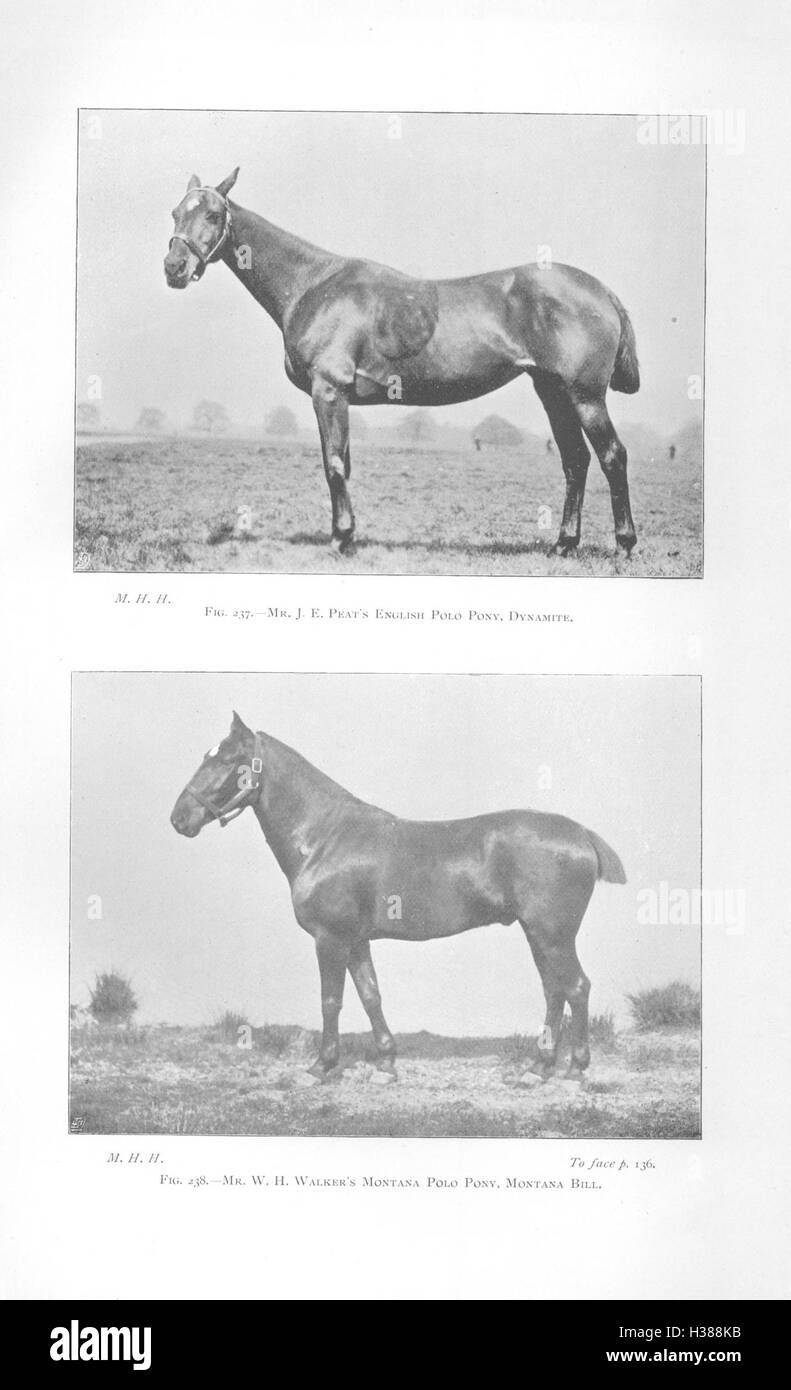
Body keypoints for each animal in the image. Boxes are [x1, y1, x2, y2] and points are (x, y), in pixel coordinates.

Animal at [163, 170, 641, 558]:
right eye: (174, 213)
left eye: (212, 215)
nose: (174, 267)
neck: (313, 284)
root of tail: (602, 291)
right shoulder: (339, 397)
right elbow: (343, 463)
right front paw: (348, 534)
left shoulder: (328, 390)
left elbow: (333, 464)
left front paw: (340, 540)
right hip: (552, 392)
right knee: (576, 461)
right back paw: (563, 544)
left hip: (585, 396)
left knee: (612, 456)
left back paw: (624, 544)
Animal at [170, 713, 627, 1082]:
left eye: (227, 760)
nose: (179, 818)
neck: (325, 837)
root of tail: (581, 834)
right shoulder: (356, 940)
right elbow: (370, 995)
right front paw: (386, 1065)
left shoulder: (330, 938)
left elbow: (331, 1001)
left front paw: (320, 1067)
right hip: (538, 934)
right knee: (554, 991)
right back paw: (538, 1068)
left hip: (553, 934)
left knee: (576, 988)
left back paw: (574, 1070)